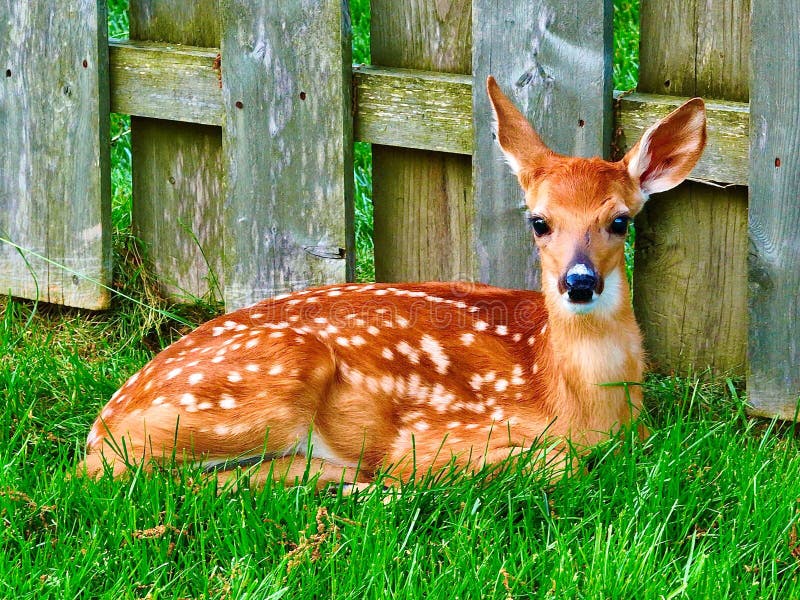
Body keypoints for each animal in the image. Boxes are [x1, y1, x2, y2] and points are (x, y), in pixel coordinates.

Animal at [80, 77, 706, 490]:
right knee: (139, 478)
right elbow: (554, 461)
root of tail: (101, 426)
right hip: (266, 381)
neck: (581, 400)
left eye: (620, 221)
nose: (579, 283)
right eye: (539, 221)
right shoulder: (441, 430)